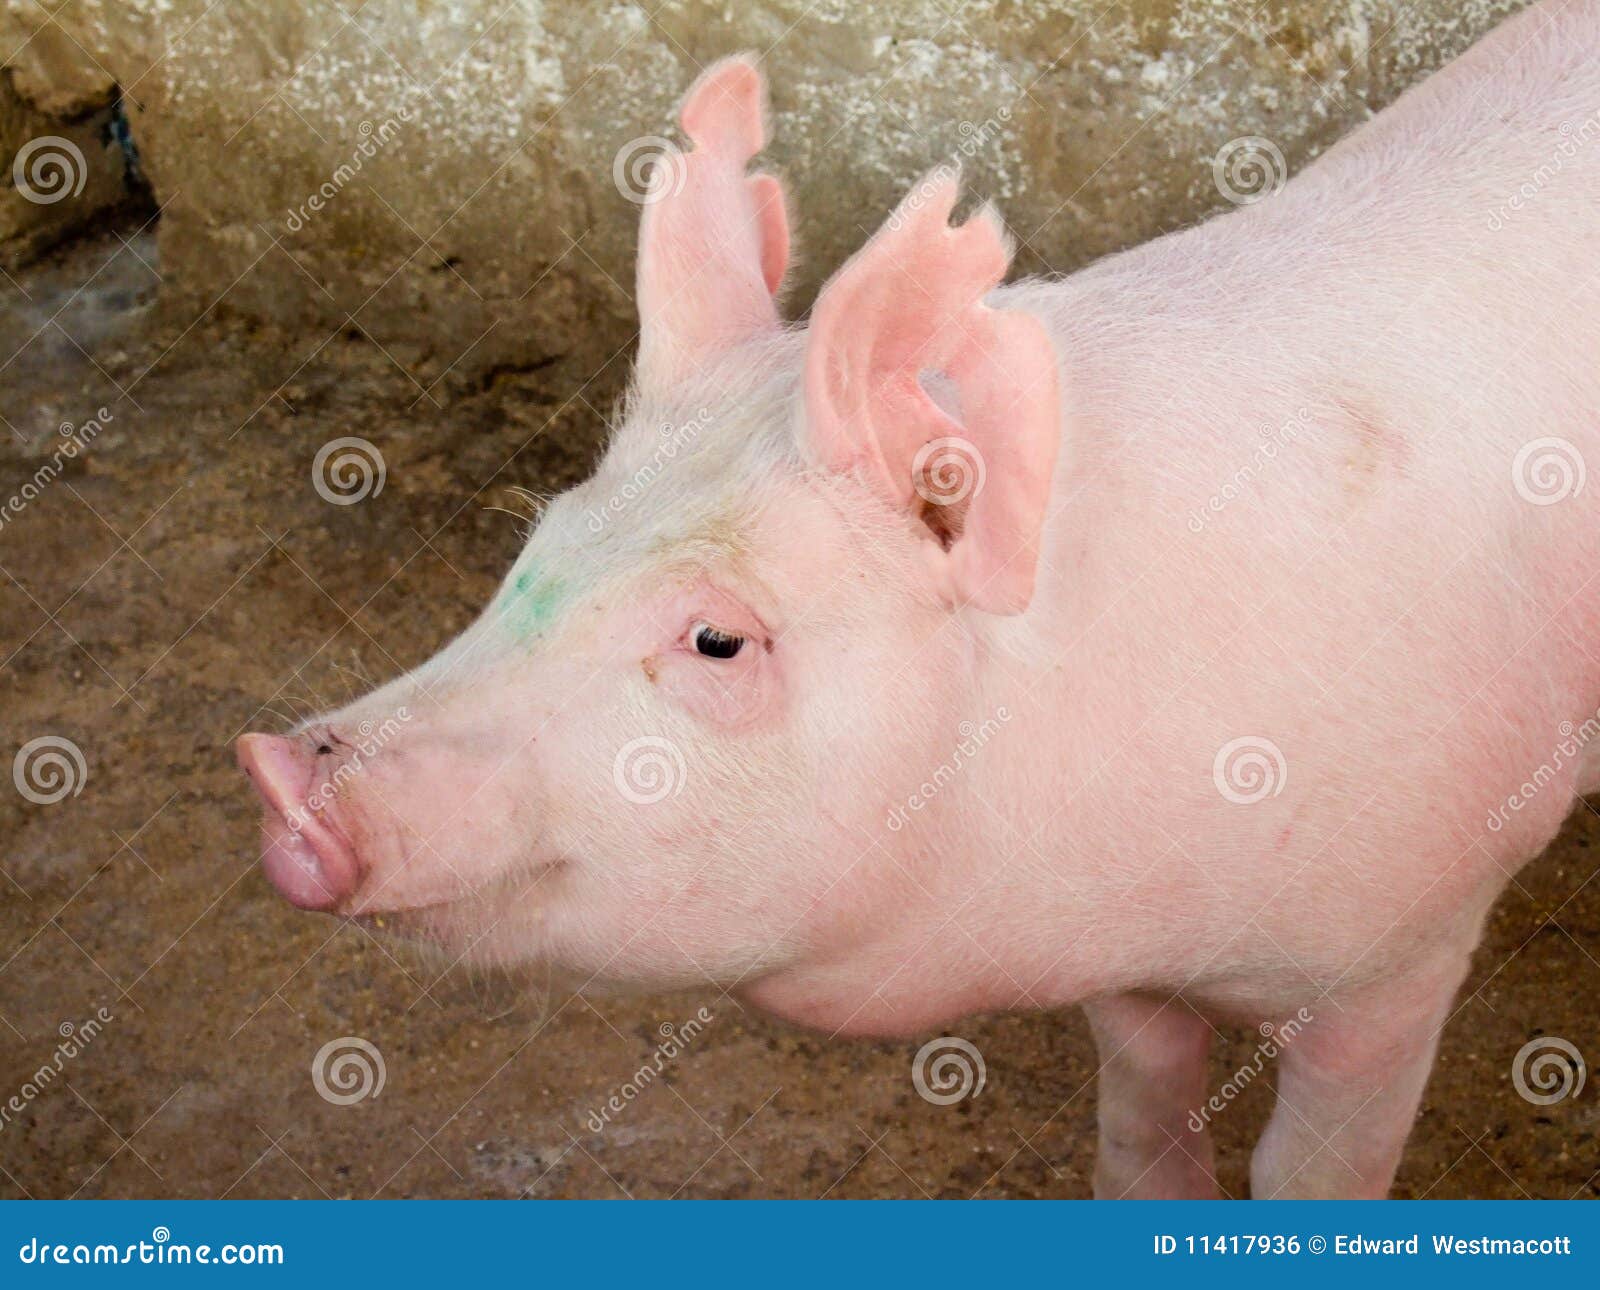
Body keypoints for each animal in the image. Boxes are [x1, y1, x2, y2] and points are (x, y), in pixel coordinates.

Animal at [238, 0, 1600, 1199]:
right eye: (539, 547)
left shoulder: (1405, 950)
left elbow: (1315, 1172)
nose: (283, 770)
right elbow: (1142, 1111)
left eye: (717, 639)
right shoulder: (1125, 964)